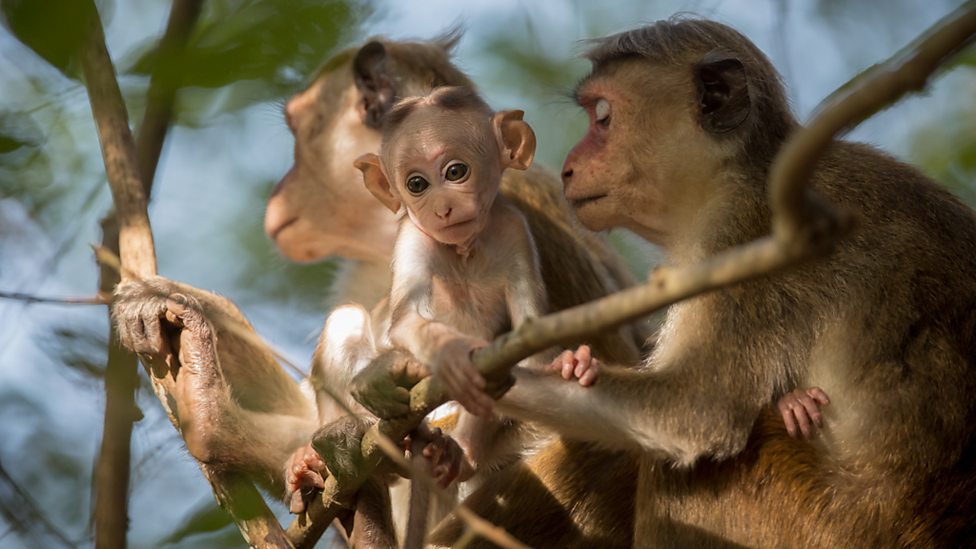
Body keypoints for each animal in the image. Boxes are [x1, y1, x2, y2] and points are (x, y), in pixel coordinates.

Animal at [391, 17, 976, 547]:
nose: (568, 167)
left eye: (603, 118)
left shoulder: (738, 241)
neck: (741, 173)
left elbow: (691, 413)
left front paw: (444, 375)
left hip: (820, 525)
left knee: (675, 464)